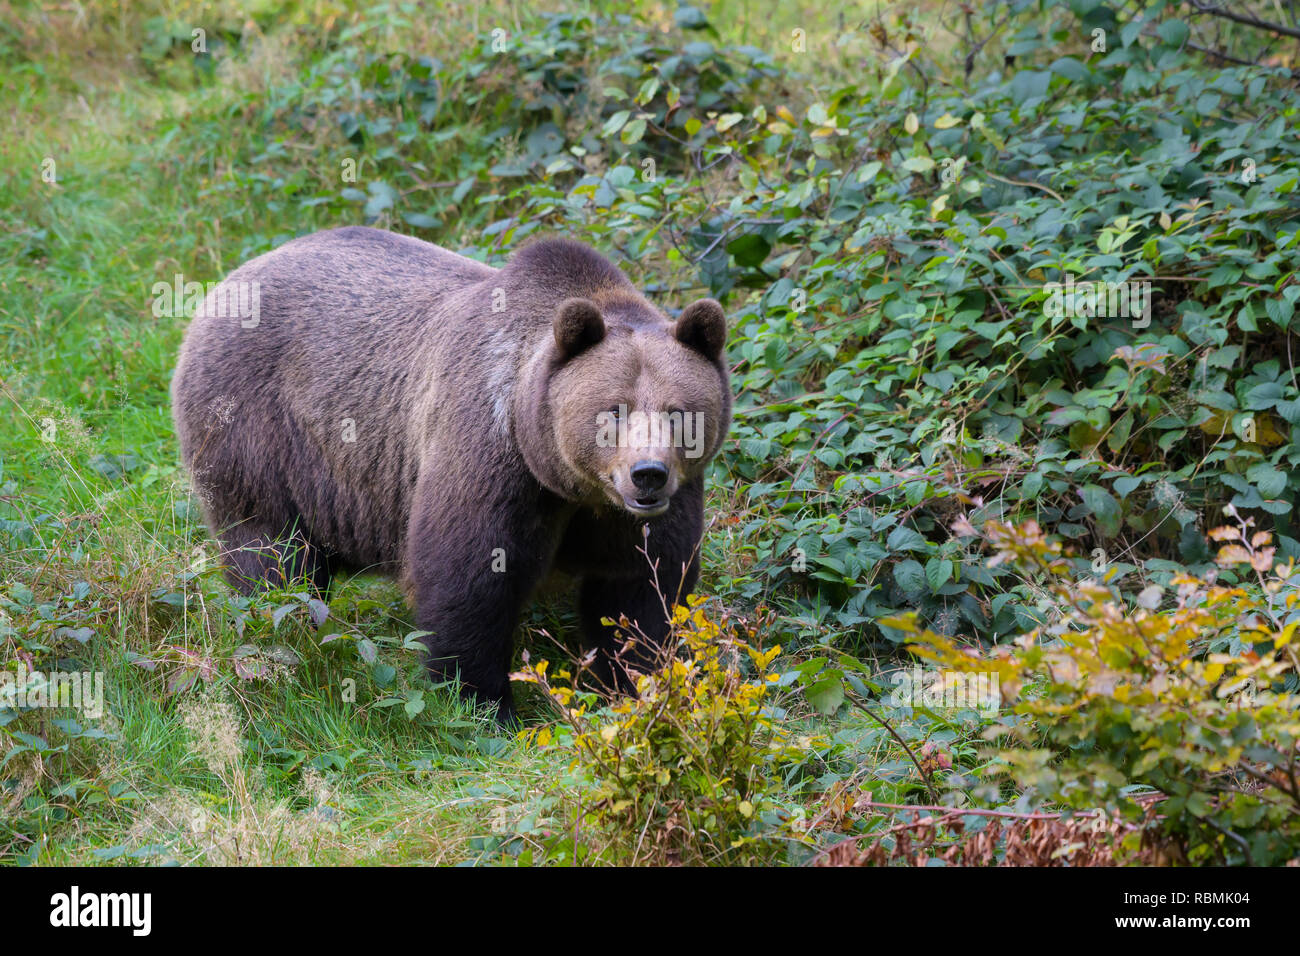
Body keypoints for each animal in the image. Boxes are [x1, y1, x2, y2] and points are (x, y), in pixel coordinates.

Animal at [170, 226, 730, 722]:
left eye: (678, 413)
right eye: (613, 410)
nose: (647, 474)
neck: (571, 485)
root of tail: (229, 281)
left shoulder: (645, 510)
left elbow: (642, 593)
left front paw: (636, 689)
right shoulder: (492, 452)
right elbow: (469, 579)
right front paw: (487, 707)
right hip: (255, 428)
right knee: (272, 557)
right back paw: (279, 636)